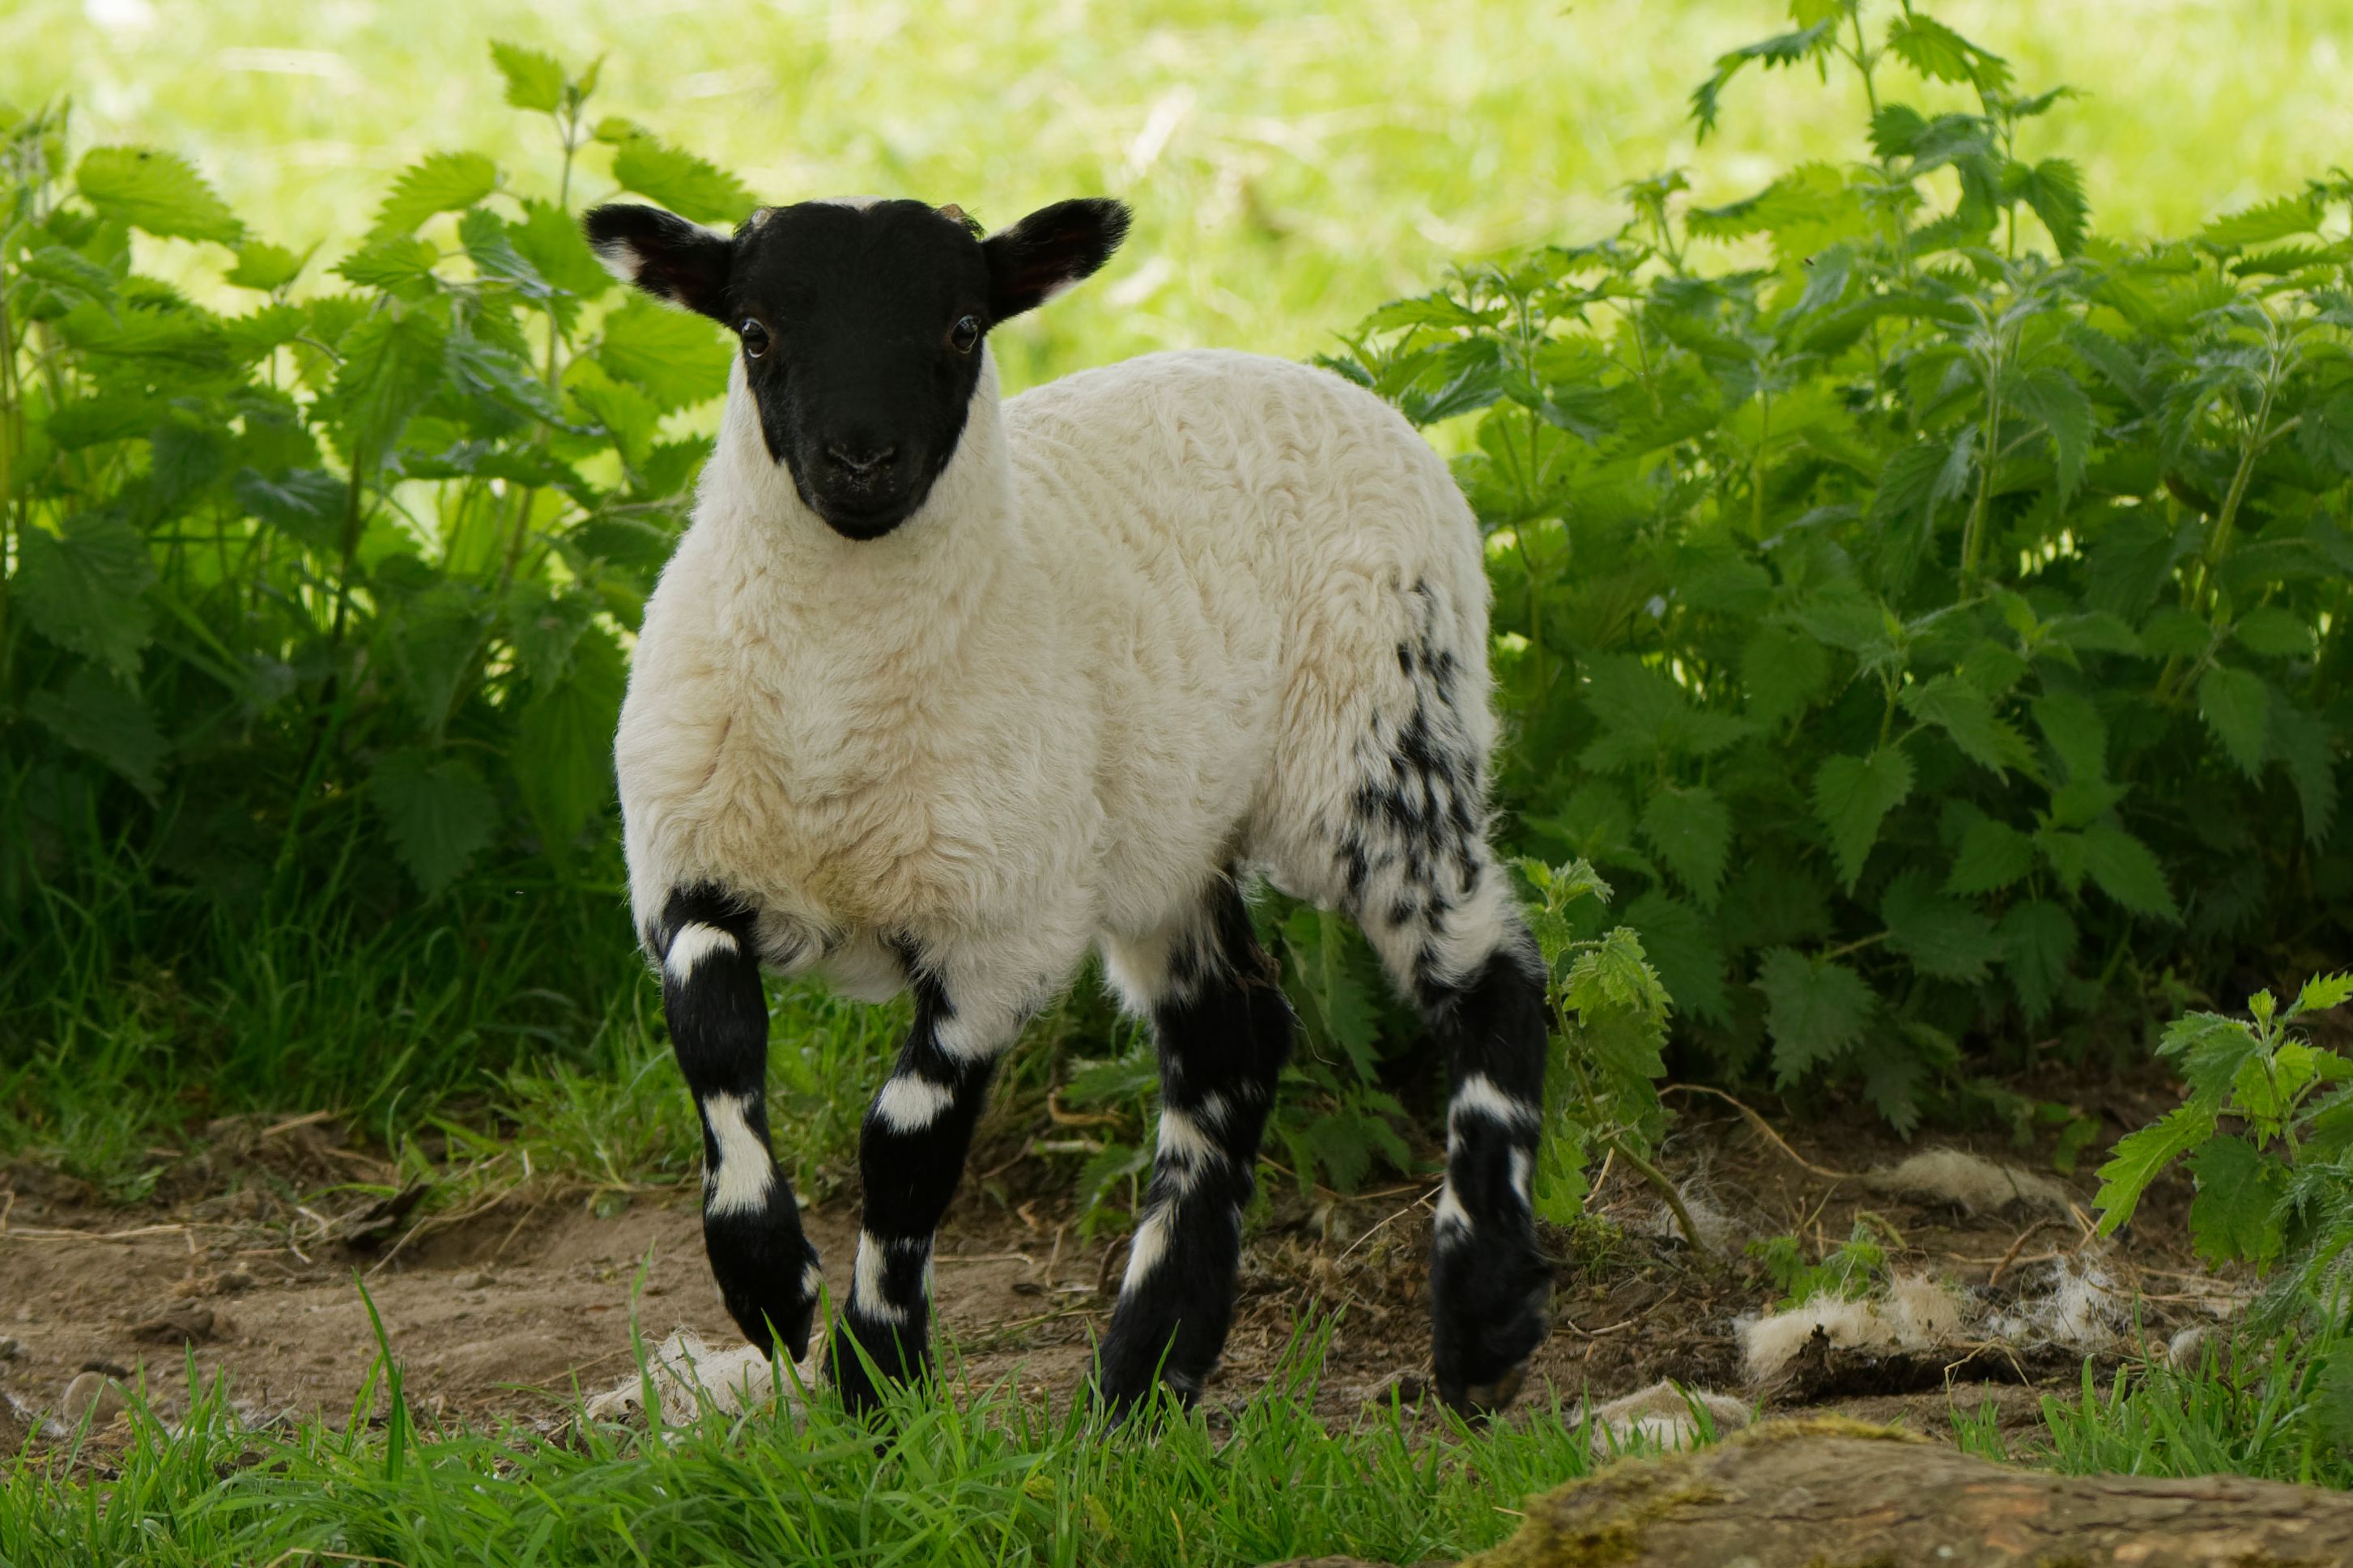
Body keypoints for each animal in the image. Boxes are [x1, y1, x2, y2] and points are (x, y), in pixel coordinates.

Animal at [583, 193, 1553, 1417]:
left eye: (962, 327)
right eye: (753, 331)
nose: (860, 459)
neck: (829, 723)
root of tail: (1336, 381)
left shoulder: (999, 930)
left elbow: (902, 1149)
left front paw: (876, 1376)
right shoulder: (688, 871)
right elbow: (715, 1047)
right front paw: (766, 1283)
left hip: (1383, 744)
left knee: (1492, 979)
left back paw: (1480, 1321)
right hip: (1165, 835)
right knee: (1231, 1040)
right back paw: (1144, 1374)